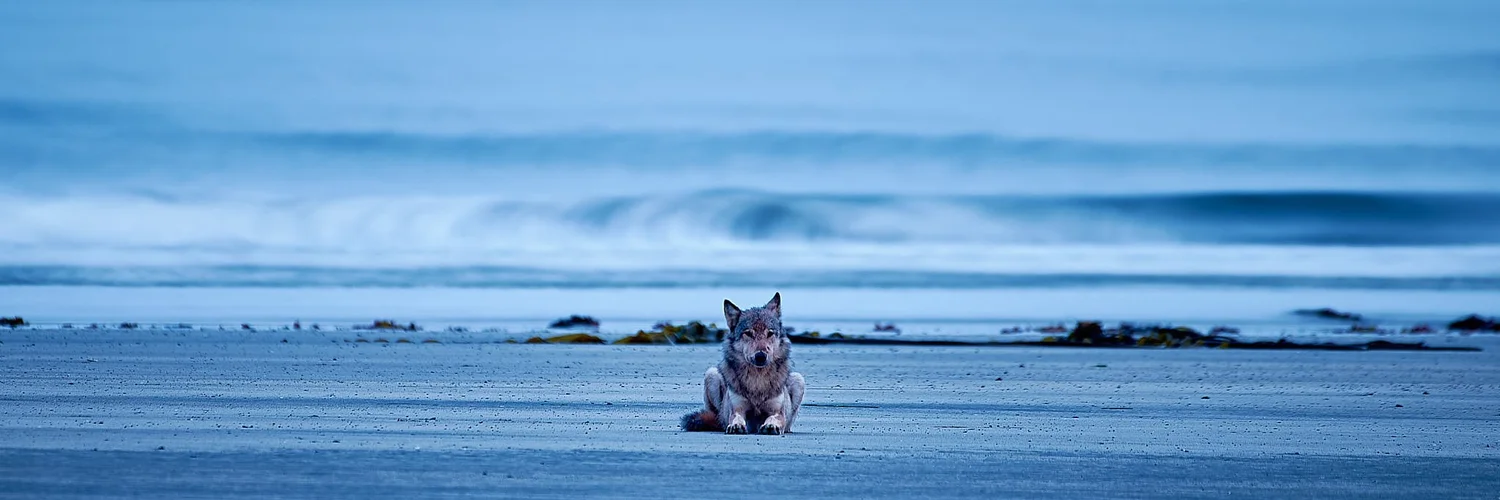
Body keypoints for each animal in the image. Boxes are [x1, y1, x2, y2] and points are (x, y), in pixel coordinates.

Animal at [680, 292, 805, 435]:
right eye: (748, 333)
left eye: (770, 333)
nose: (760, 356)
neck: (757, 380)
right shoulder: (737, 408)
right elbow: (736, 417)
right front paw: (736, 425)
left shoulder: (777, 411)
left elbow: (774, 418)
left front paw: (771, 426)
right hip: (711, 375)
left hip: (798, 379)